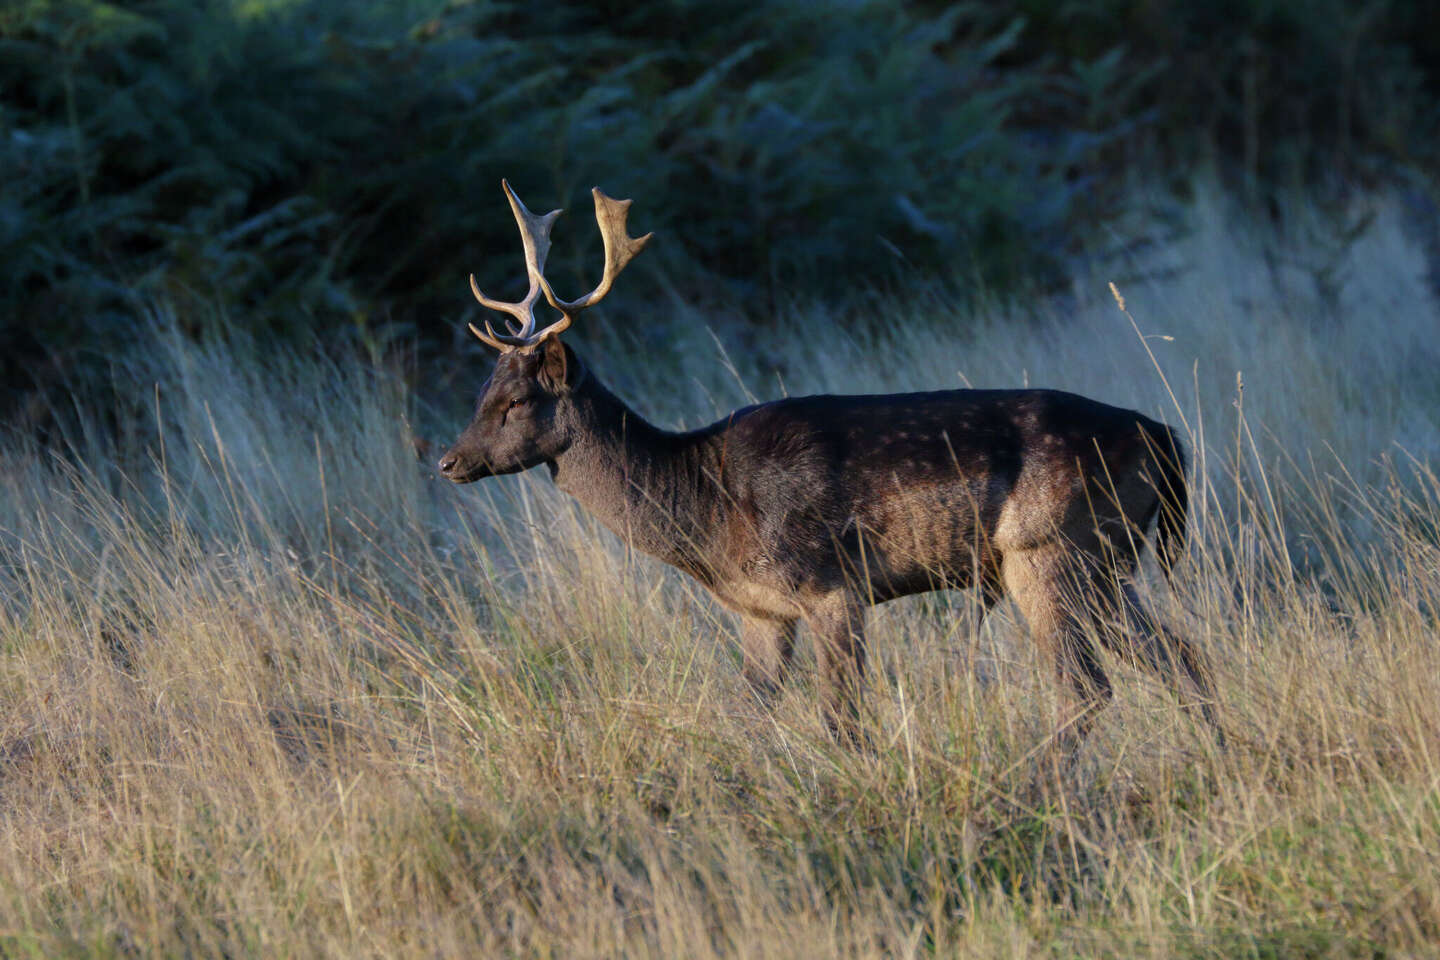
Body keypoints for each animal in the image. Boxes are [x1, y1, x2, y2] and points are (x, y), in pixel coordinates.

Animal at [439, 180, 1223, 748]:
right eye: (481, 389)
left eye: (516, 400)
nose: (449, 460)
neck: (708, 508)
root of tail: (1163, 436)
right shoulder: (761, 612)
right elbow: (748, 718)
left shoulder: (831, 586)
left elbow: (840, 721)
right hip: (1107, 565)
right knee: (1184, 659)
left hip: (1051, 551)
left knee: (1087, 688)